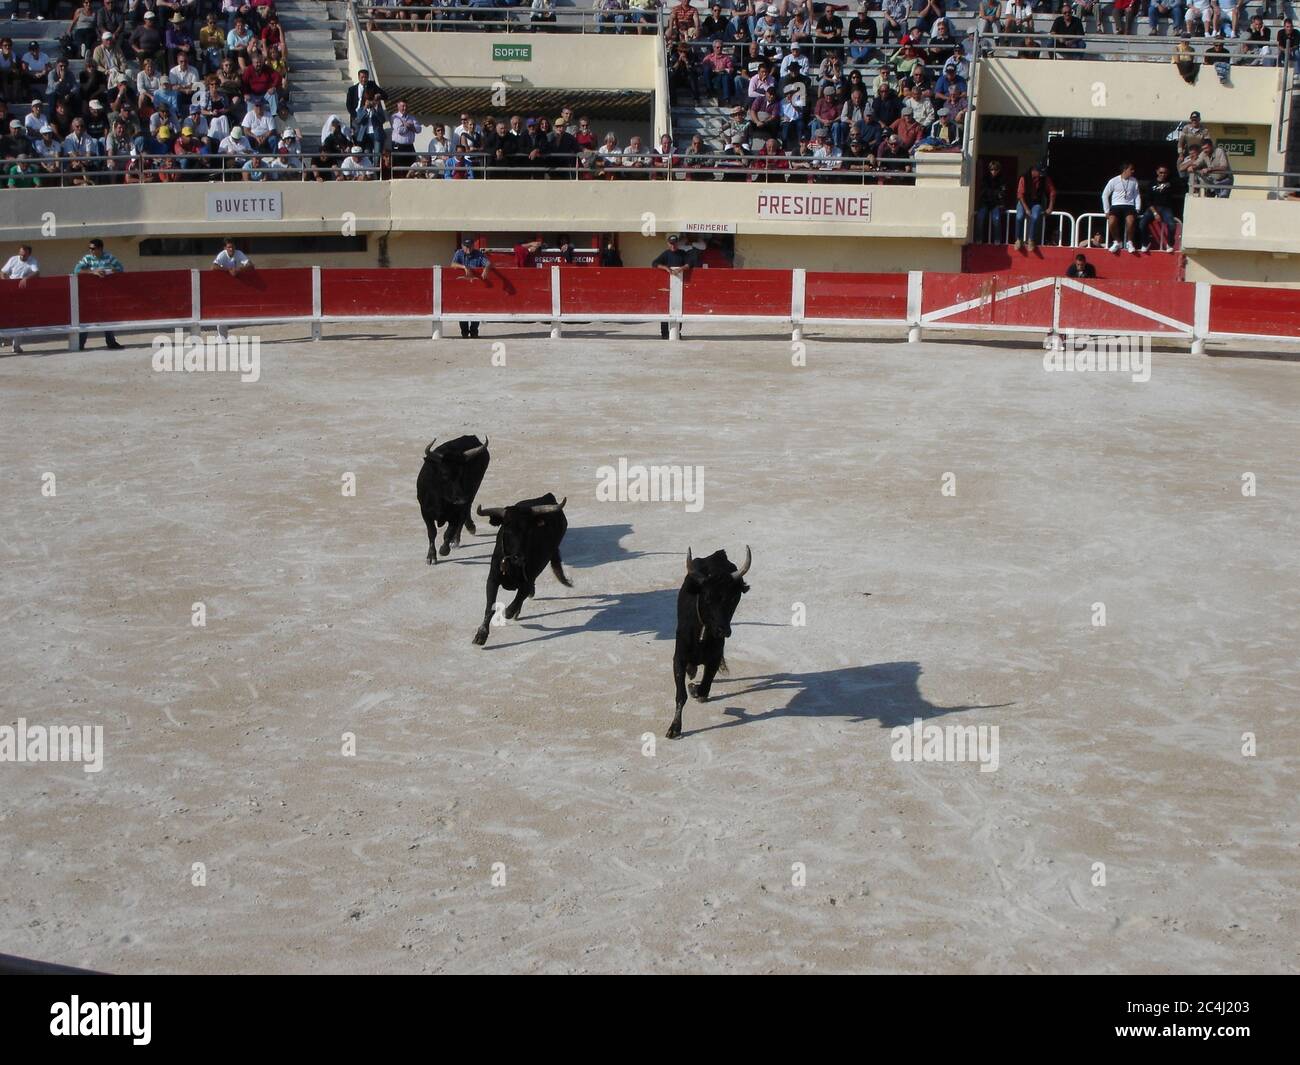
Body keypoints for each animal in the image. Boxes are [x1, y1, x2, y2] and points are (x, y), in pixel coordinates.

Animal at [417, 435, 490, 564]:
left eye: (462, 474)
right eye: (444, 474)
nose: (460, 500)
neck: (442, 501)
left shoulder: (456, 513)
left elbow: (449, 532)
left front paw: (443, 550)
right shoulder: (425, 512)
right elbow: (432, 532)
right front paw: (431, 556)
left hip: (472, 492)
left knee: (465, 514)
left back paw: (458, 538)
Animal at [472, 493, 572, 646]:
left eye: (528, 531)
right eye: (506, 530)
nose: (518, 558)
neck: (513, 567)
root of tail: (547, 495)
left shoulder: (527, 581)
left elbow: (512, 606)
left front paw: (510, 612)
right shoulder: (492, 579)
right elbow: (490, 606)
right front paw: (481, 635)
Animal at [667, 546, 751, 739]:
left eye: (733, 598)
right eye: (707, 598)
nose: (723, 631)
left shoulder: (714, 658)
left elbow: (704, 688)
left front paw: (694, 688)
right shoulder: (678, 658)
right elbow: (680, 695)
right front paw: (674, 728)